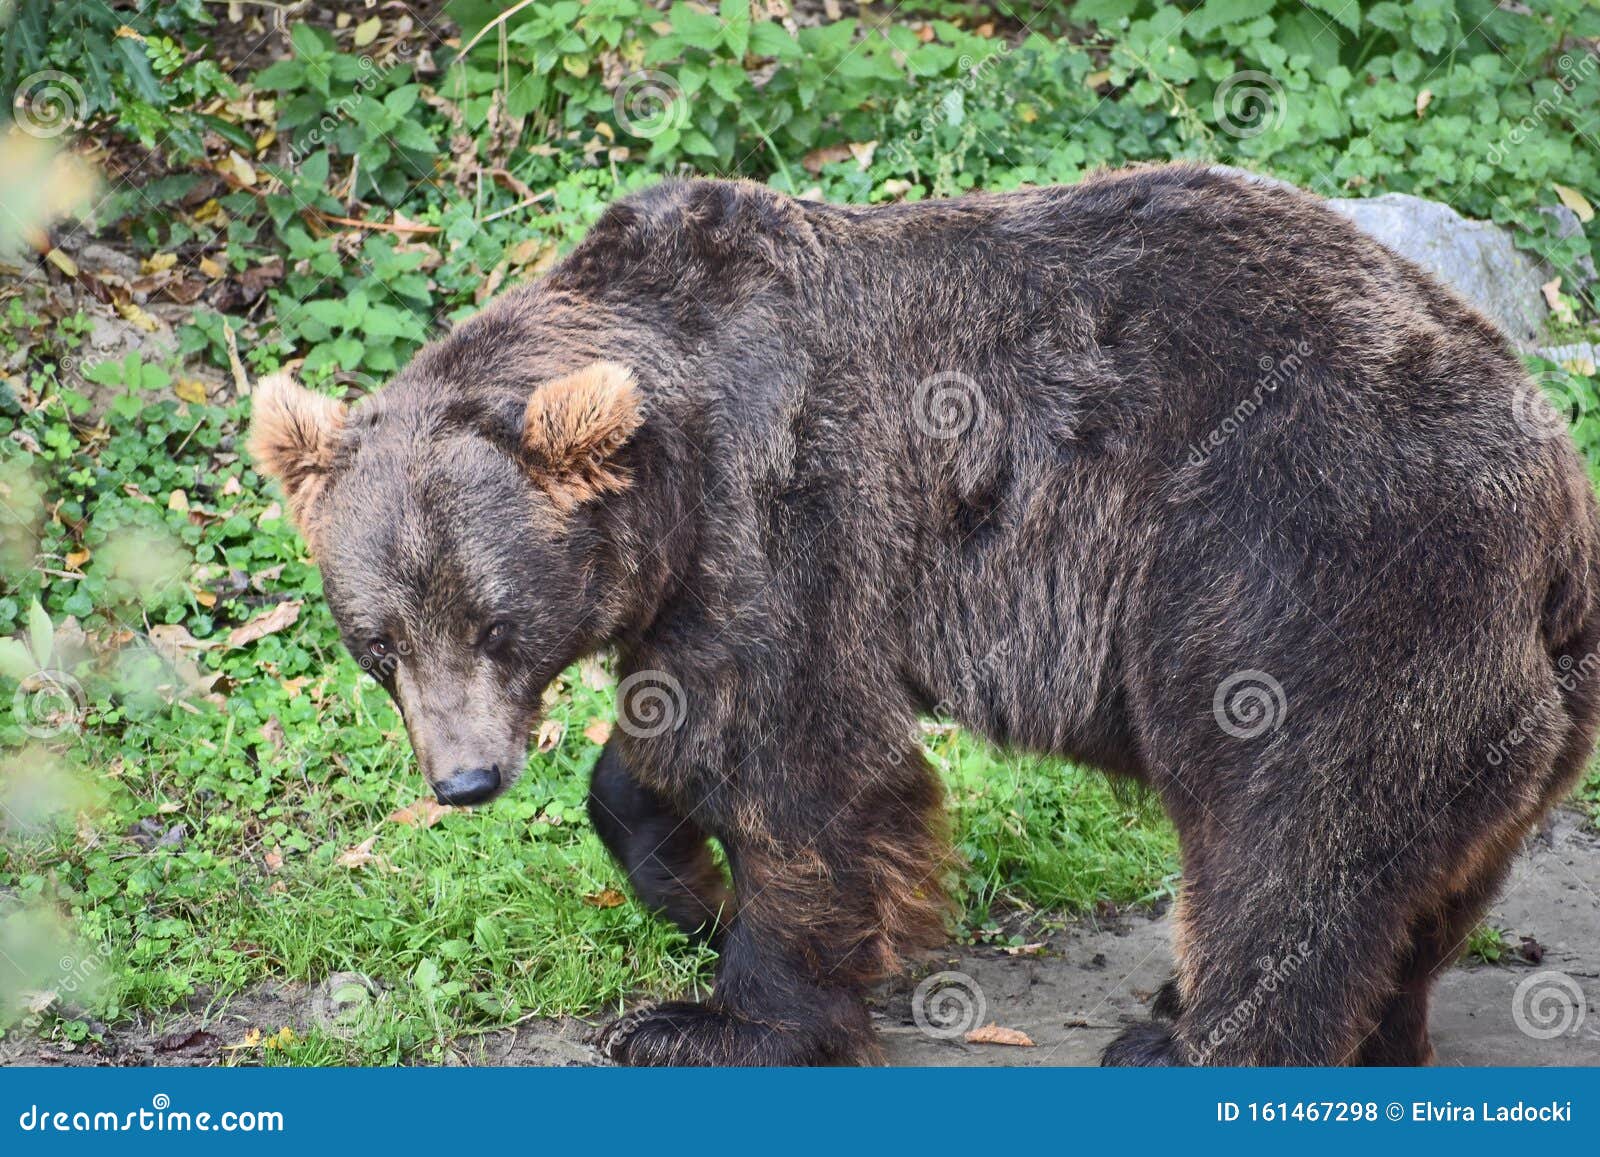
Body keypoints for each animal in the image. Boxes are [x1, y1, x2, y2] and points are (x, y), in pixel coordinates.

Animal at [250, 163, 1600, 1066]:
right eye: (379, 641)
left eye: (497, 624)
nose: (465, 778)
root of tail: (1554, 504)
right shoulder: (682, 582)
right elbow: (671, 738)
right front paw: (684, 887)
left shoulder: (786, 515)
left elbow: (798, 760)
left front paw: (716, 1017)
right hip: (1509, 700)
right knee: (1420, 876)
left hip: (1310, 565)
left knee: (1290, 825)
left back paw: (1186, 1039)